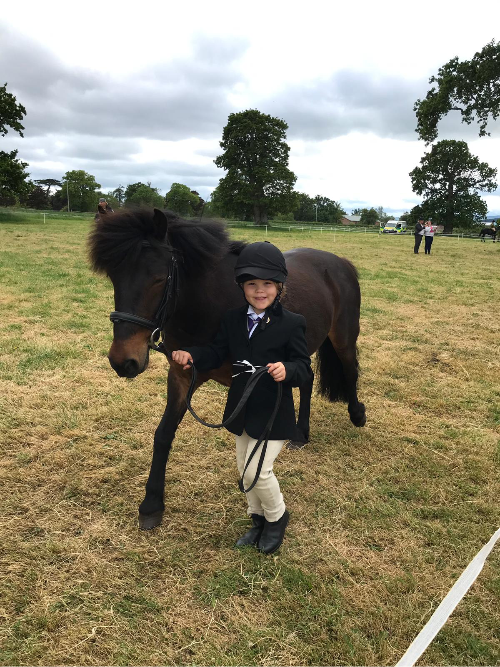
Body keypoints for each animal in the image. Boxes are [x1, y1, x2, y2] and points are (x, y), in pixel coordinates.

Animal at [88, 208, 366, 530]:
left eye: (159, 279)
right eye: (113, 277)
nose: (123, 361)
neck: (210, 304)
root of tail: (339, 262)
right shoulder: (182, 374)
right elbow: (163, 434)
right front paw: (151, 504)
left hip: (343, 337)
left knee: (350, 369)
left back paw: (357, 415)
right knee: (307, 380)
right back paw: (299, 434)